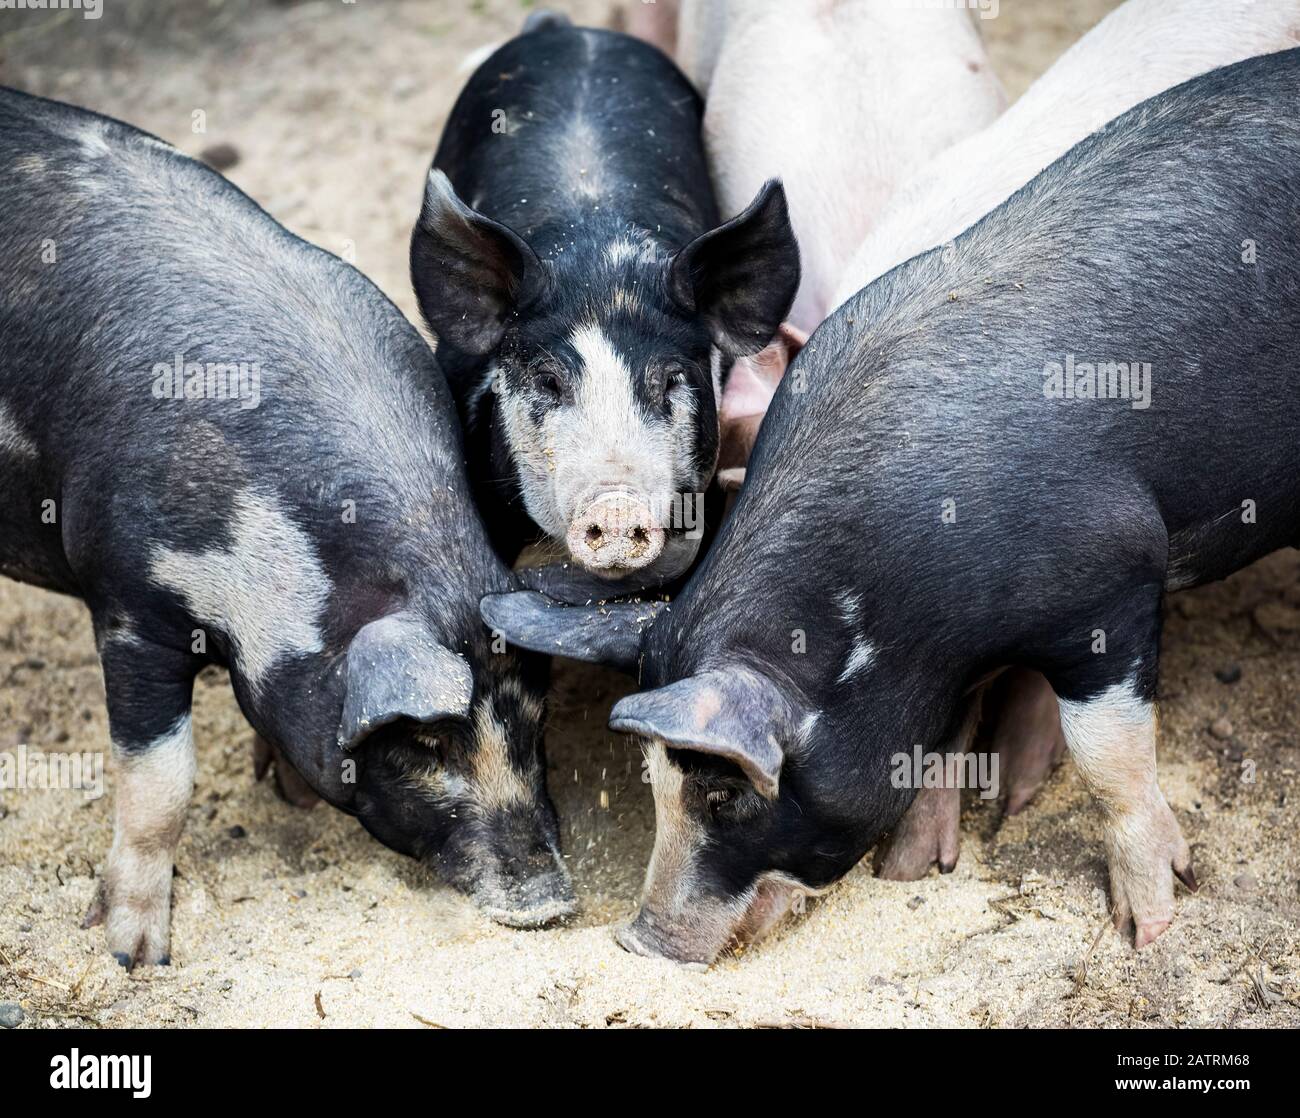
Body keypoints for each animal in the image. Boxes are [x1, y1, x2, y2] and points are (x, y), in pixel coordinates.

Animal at [0, 87, 573, 968]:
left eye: (532, 725)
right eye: (425, 745)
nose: (551, 902)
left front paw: (291, 791)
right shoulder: (129, 600)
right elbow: (162, 779)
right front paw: (134, 956)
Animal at [483, 48, 1300, 963]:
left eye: (726, 796)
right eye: (652, 781)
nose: (638, 942)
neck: (906, 604)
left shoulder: (1116, 581)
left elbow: (1110, 761)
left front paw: (1147, 931)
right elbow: (940, 740)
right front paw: (910, 872)